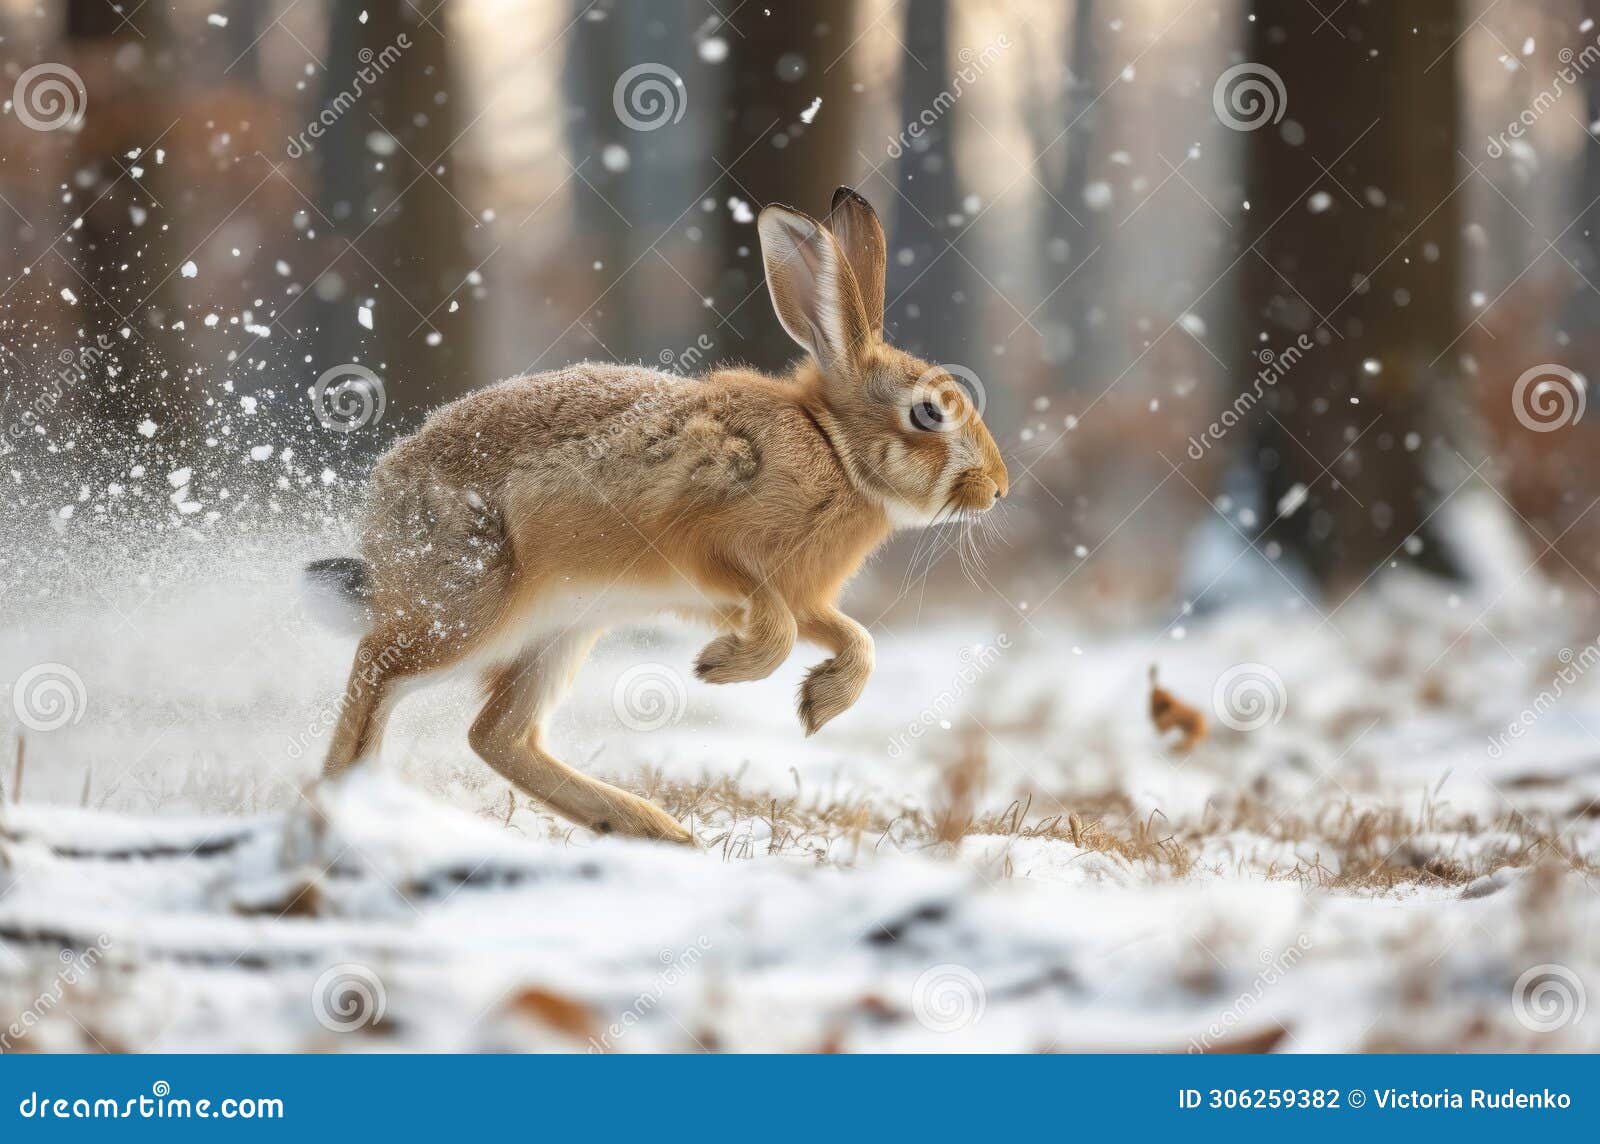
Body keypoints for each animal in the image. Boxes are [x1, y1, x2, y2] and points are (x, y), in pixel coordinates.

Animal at [305, 188, 1008, 844]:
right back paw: (345, 802)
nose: (998, 489)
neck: (833, 450)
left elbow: (856, 639)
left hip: (561, 630)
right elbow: (775, 626)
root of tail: (381, 504)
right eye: (929, 413)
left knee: (497, 736)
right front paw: (719, 667)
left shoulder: (802, 598)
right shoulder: (709, 552)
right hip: (474, 607)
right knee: (379, 667)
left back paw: (649, 828)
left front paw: (818, 703)